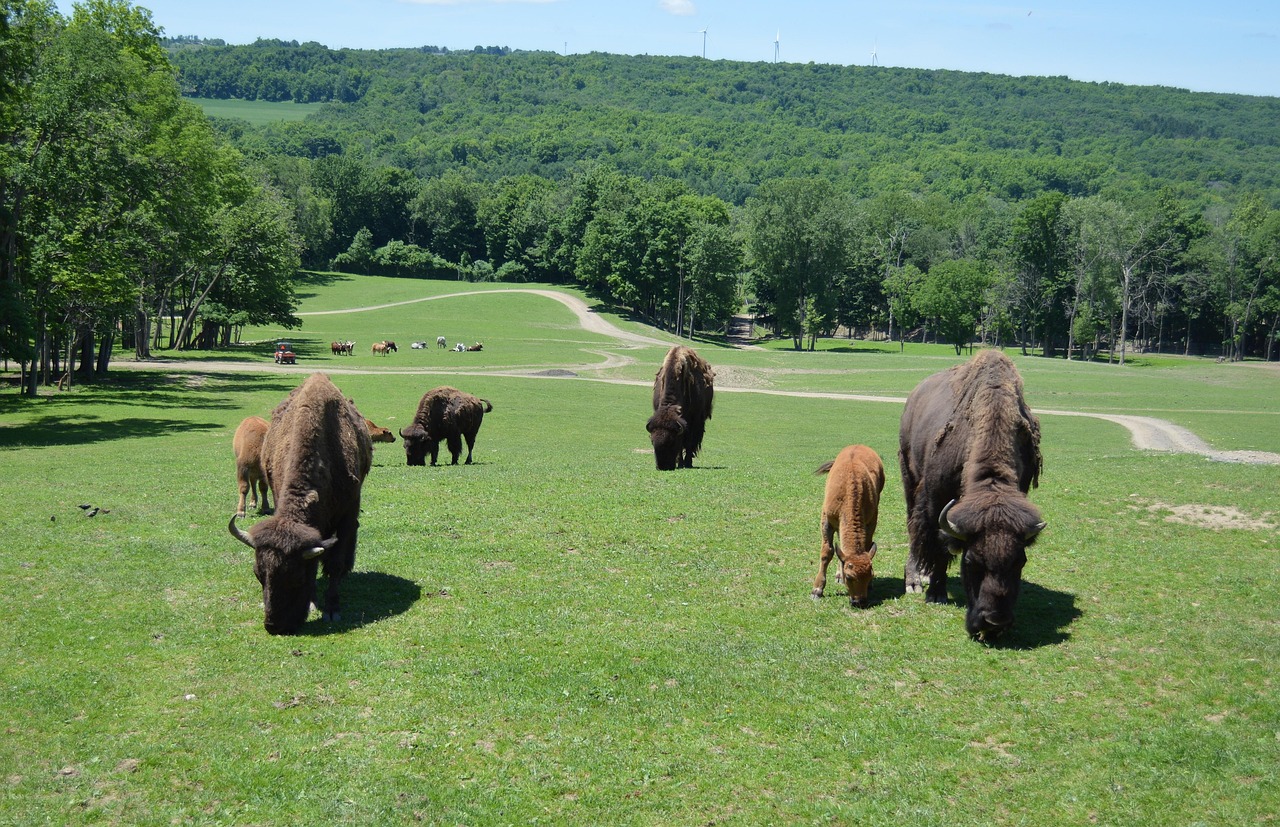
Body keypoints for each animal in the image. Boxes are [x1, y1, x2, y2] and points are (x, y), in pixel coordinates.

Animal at [228, 373, 372, 635]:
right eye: (258, 574)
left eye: (295, 577)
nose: (274, 626)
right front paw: (314, 603)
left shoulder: (346, 513)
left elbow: (334, 562)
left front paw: (332, 609)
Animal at [812, 445, 885, 608]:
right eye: (850, 577)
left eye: (870, 575)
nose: (859, 601)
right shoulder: (827, 520)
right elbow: (827, 552)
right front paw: (817, 590)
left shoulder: (871, 521)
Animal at [898, 350, 1046, 640]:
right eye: (971, 561)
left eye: (1020, 562)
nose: (994, 622)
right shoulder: (936, 501)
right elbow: (939, 545)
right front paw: (936, 593)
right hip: (909, 477)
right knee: (913, 528)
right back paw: (914, 580)